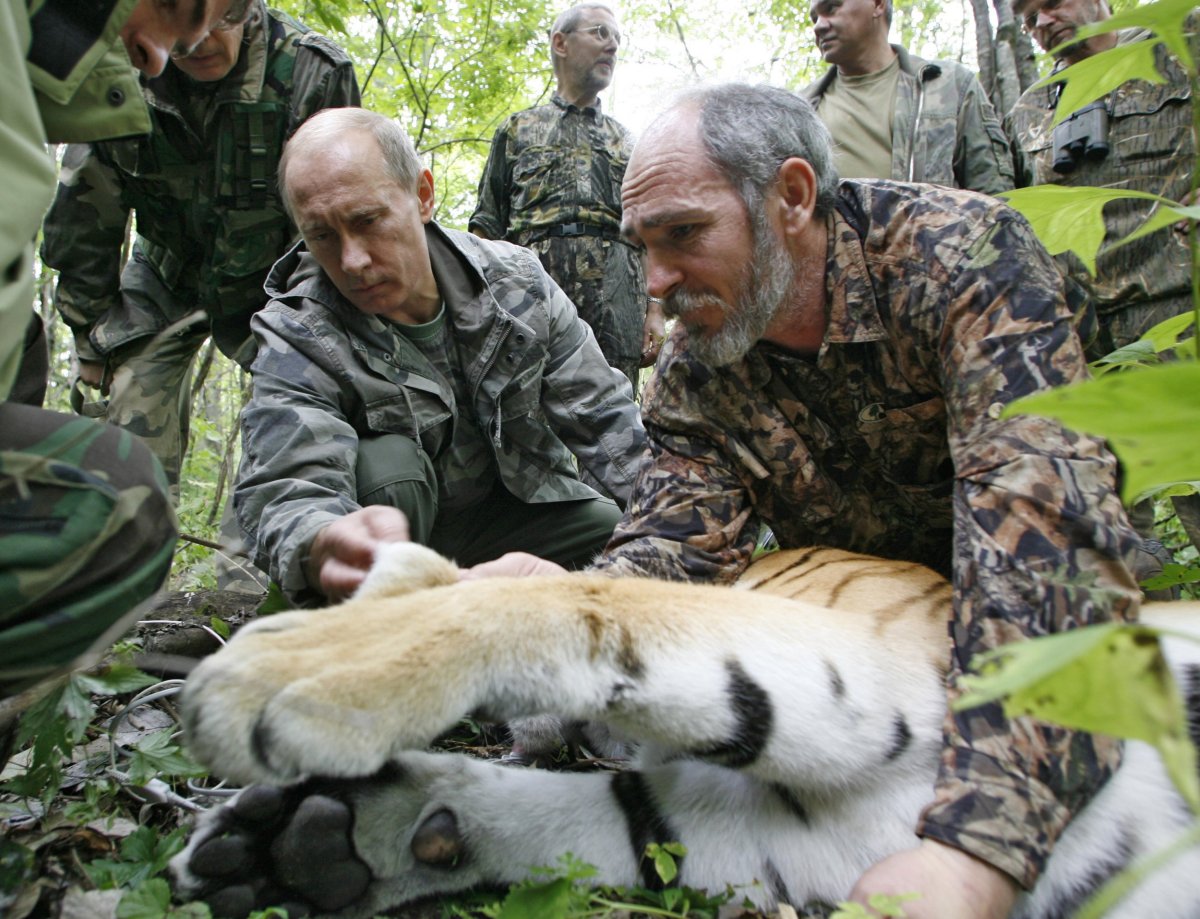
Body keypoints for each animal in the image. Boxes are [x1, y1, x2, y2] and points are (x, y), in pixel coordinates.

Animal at [172, 541, 1200, 918]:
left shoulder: (882, 667)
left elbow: (581, 590)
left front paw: (302, 664)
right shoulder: (815, 837)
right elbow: (603, 814)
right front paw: (309, 846)